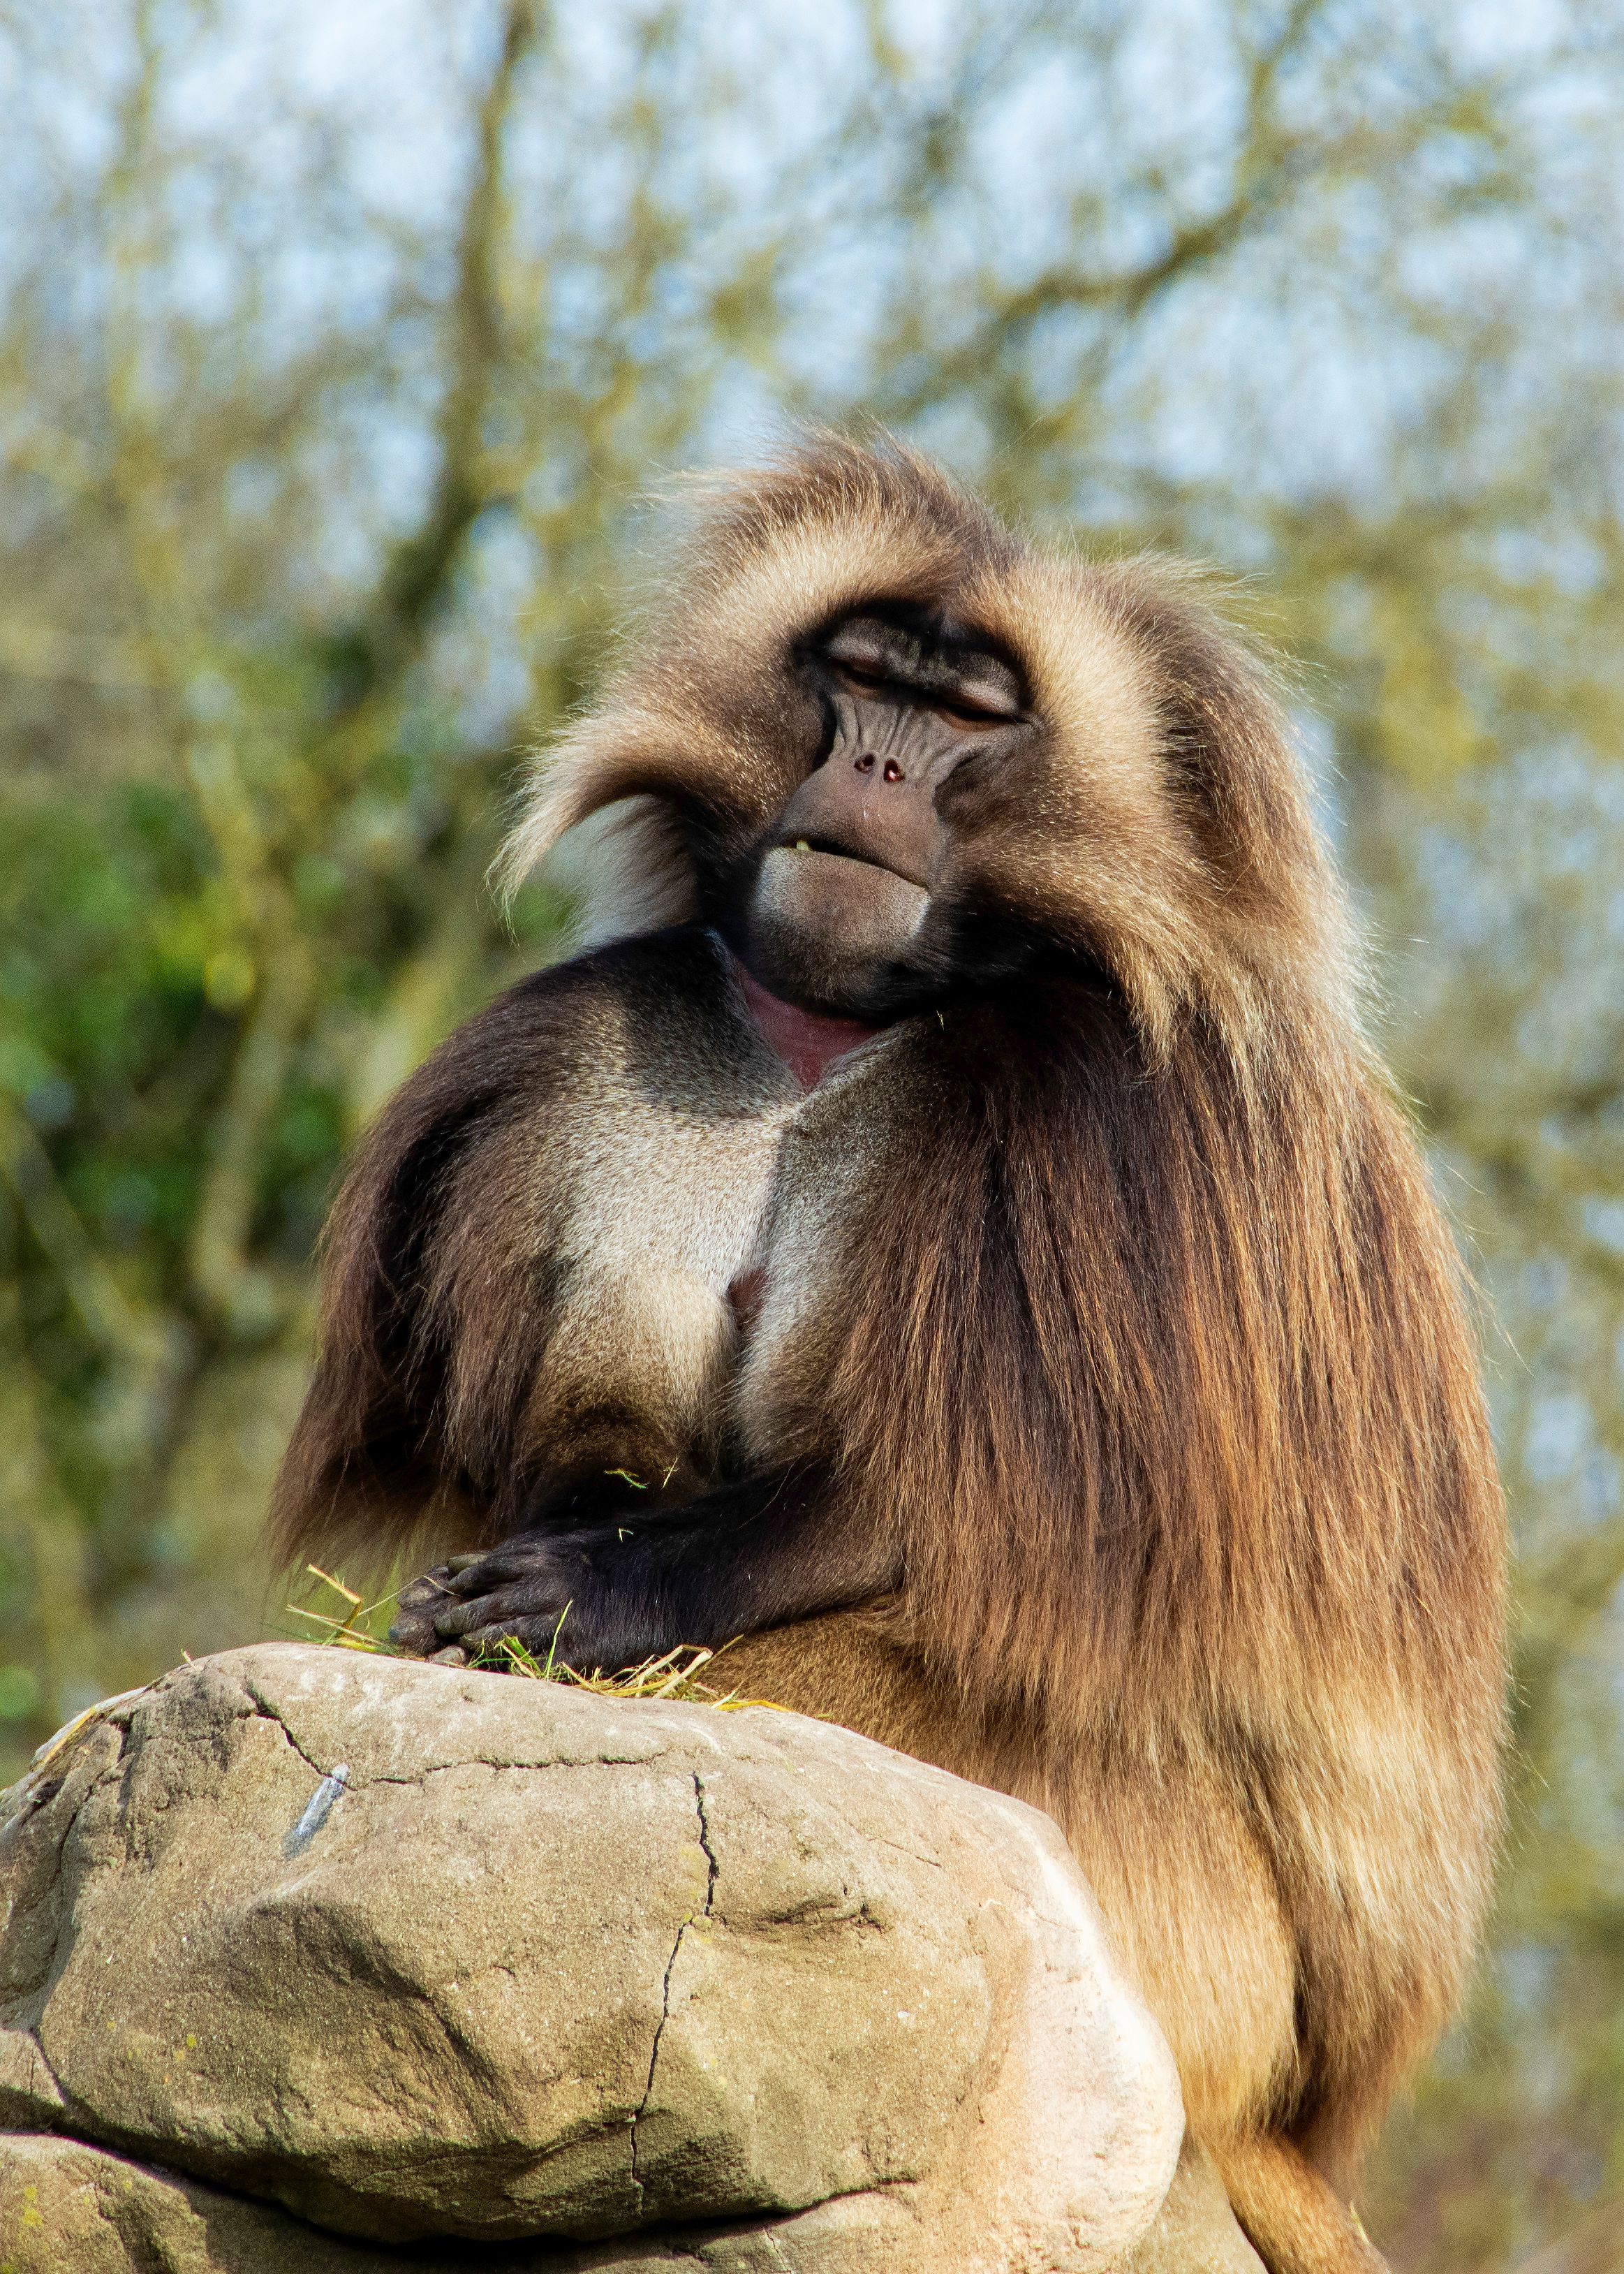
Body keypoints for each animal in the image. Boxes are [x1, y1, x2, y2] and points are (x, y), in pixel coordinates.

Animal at [271, 437, 1506, 2274]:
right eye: (862, 677)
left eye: (965, 712)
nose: (868, 761)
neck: (834, 1033)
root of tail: (1292, 2119)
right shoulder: (601, 1046)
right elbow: (592, 1445)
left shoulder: (1125, 1128)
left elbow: (983, 1522)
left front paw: (584, 1600)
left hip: (1185, 1938)